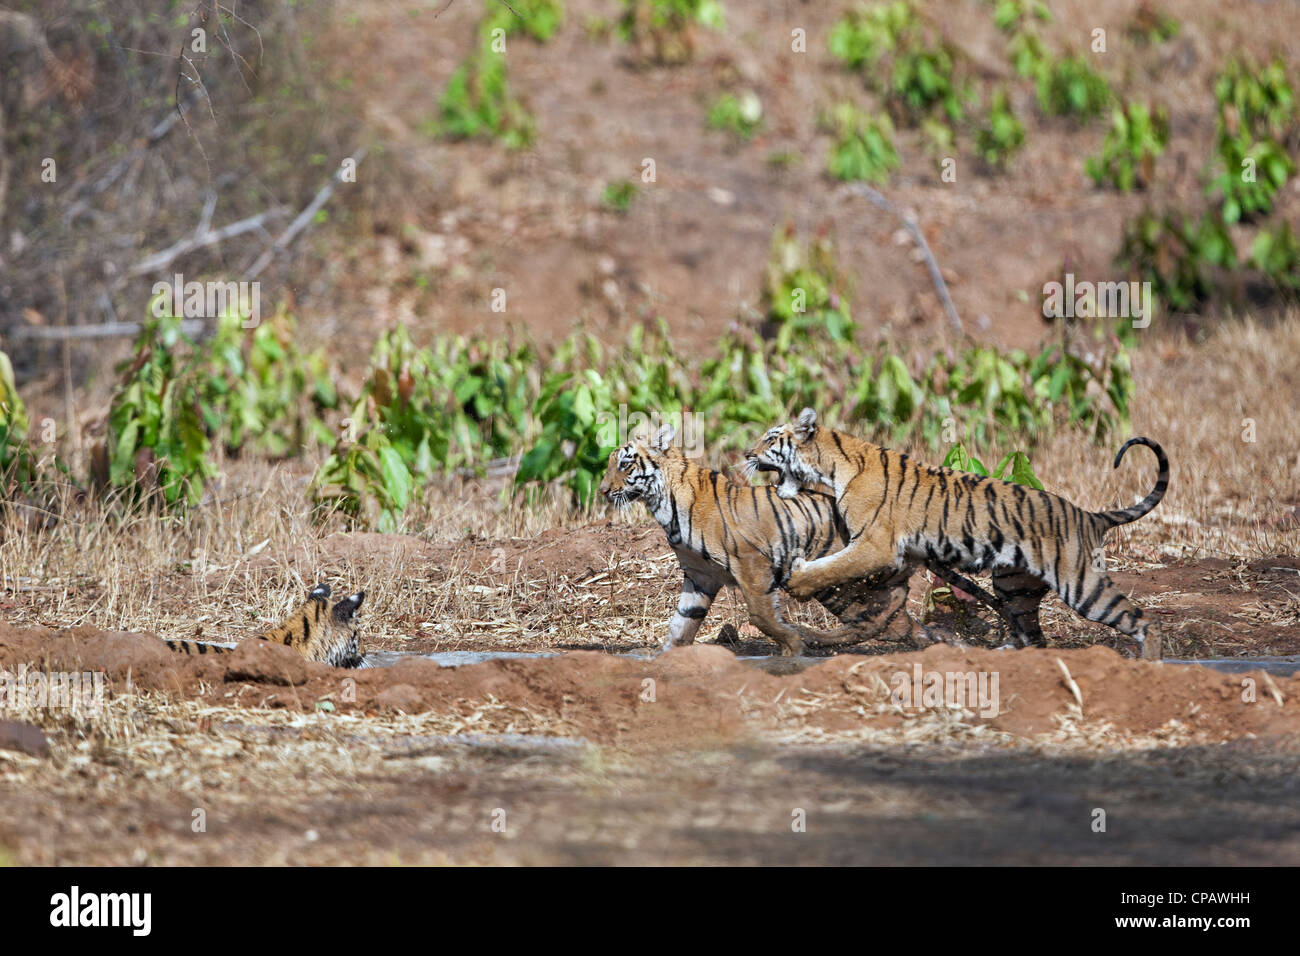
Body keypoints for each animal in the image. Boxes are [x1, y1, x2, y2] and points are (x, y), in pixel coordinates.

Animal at [598, 423, 1005, 657]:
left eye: (625, 464)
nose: (602, 491)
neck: (661, 502)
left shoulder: (752, 565)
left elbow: (761, 615)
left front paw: (790, 647)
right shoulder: (700, 576)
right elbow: (681, 626)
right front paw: (663, 661)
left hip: (842, 584)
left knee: (884, 618)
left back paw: (811, 638)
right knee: (900, 620)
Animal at [743, 408, 1170, 659]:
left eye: (770, 438)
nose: (746, 455)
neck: (832, 465)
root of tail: (1089, 516)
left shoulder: (875, 544)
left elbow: (833, 566)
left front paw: (798, 581)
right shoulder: (906, 554)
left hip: (1081, 584)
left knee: (1140, 620)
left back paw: (1151, 665)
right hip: (1015, 587)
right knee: (1033, 635)